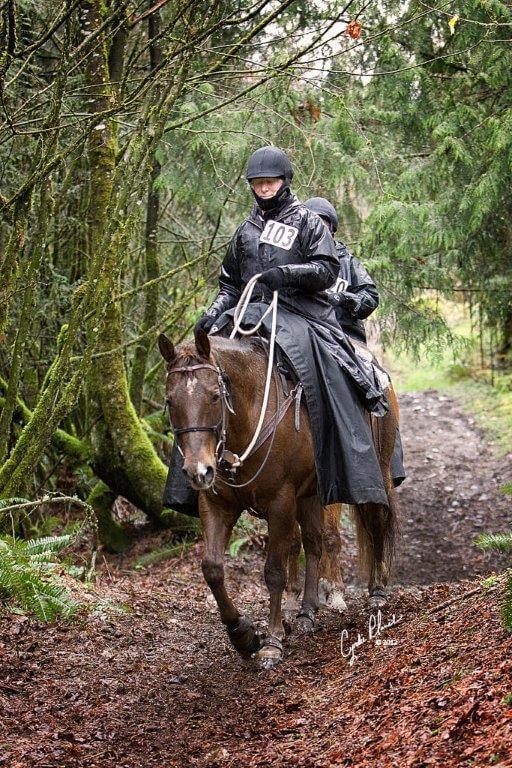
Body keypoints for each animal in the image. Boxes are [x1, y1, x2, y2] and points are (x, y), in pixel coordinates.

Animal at [158, 328, 399, 668]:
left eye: (214, 396)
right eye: (170, 400)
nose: (198, 471)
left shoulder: (280, 501)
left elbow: (274, 571)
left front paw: (271, 642)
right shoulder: (217, 505)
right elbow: (213, 568)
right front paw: (243, 635)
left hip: (377, 471)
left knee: (375, 524)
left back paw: (376, 593)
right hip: (310, 494)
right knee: (313, 542)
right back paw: (307, 612)